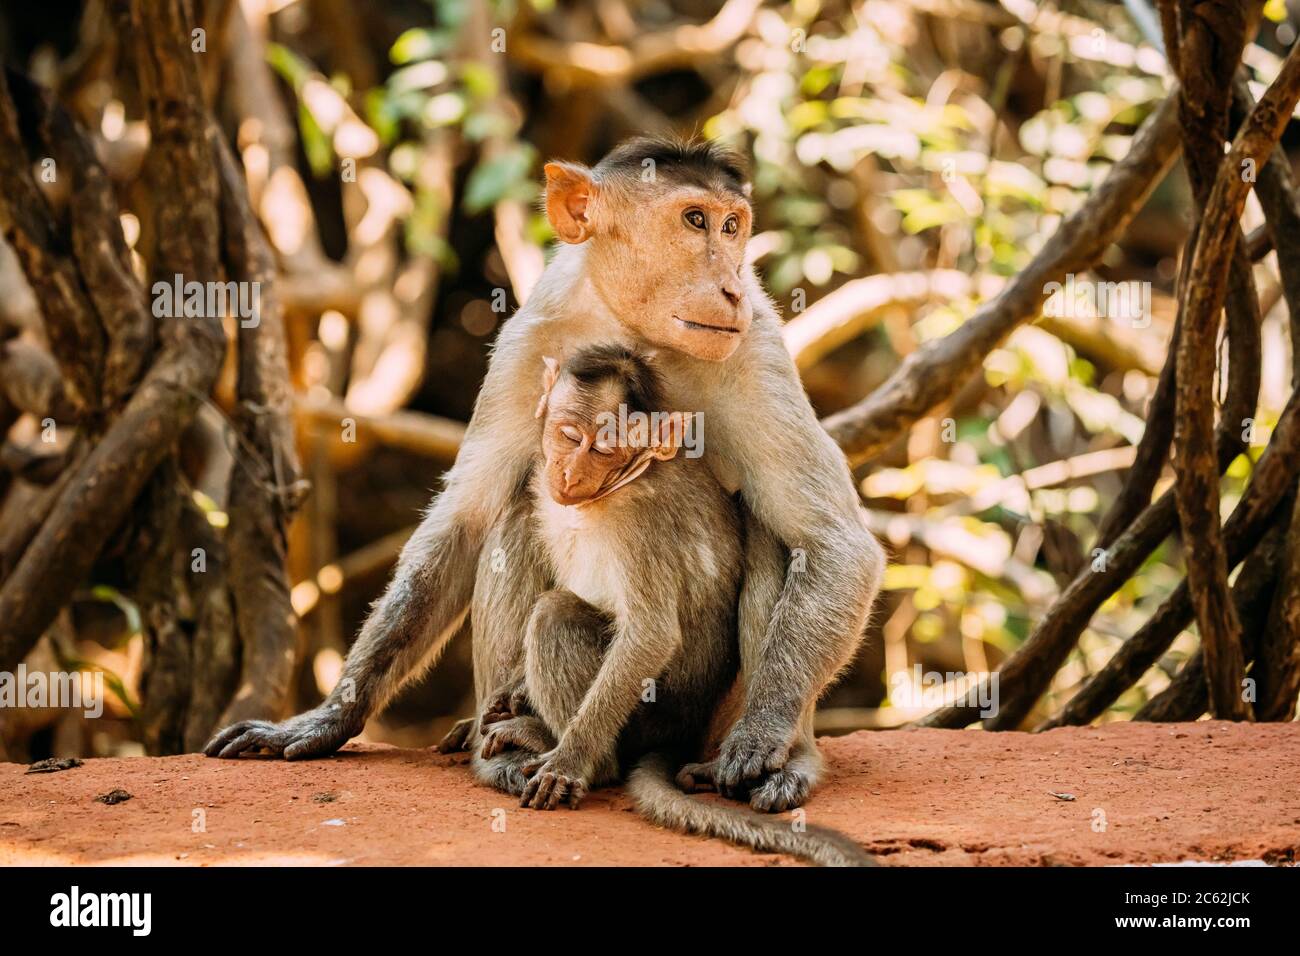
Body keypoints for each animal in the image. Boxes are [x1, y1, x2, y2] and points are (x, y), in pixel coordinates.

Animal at [469, 346, 872, 866]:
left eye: (601, 449)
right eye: (569, 435)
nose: (570, 473)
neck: (614, 487)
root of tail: (680, 738)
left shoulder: (636, 520)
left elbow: (650, 635)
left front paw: (570, 759)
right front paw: (514, 691)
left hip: (658, 717)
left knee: (555, 617)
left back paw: (579, 755)